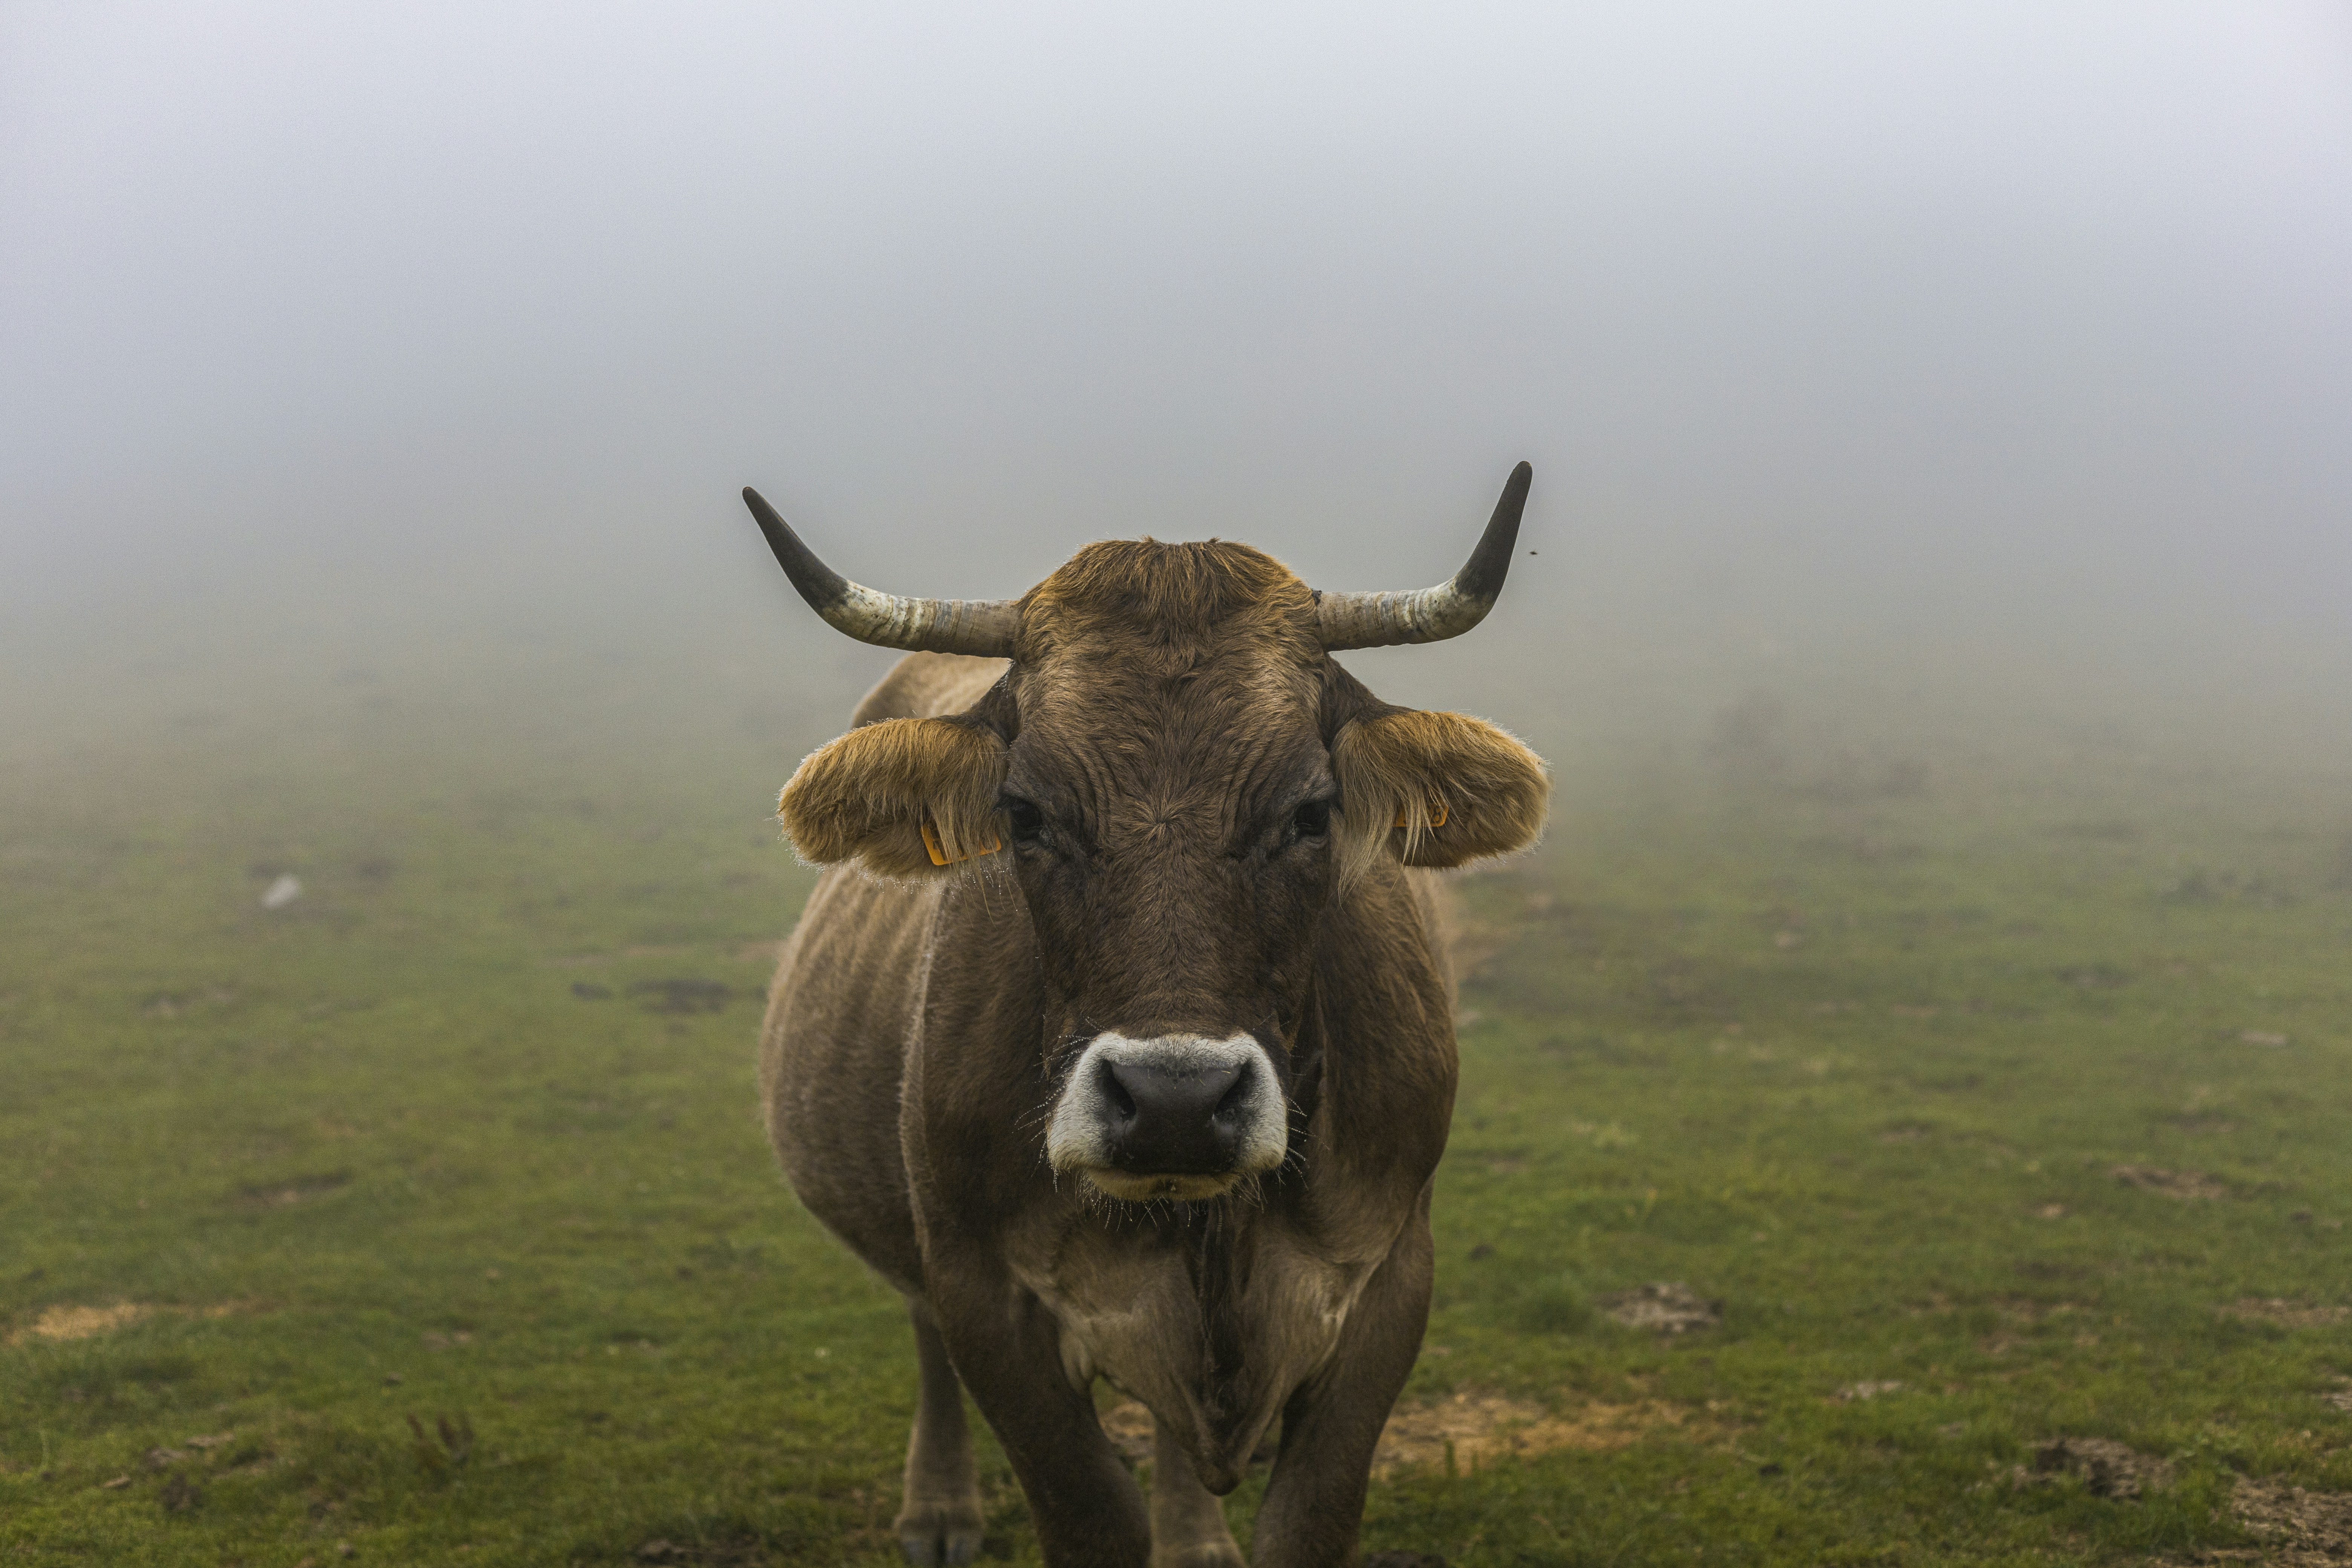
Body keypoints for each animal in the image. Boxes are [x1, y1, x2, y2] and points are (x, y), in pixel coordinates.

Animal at [745, 466, 1550, 1568]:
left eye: (1311, 812)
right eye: (1025, 814)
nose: (1177, 1103)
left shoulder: (1387, 1284)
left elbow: (1308, 1520)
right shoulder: (984, 1292)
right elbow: (1087, 1513)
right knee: (923, 1334)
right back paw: (940, 1510)